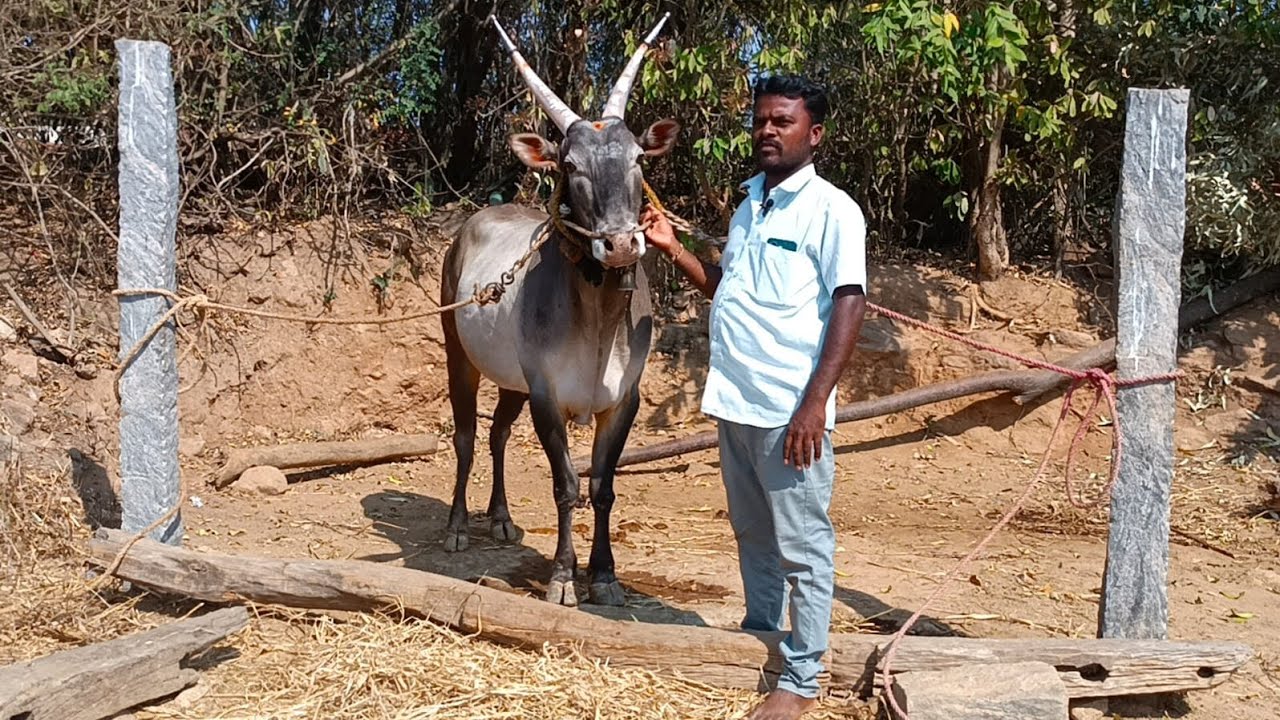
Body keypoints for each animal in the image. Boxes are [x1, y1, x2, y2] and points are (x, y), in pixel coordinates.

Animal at [438, 14, 679, 607]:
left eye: (638, 158)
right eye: (570, 164)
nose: (620, 245)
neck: (597, 320)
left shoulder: (623, 400)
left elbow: (602, 486)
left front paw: (606, 577)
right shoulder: (547, 395)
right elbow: (566, 486)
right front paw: (564, 577)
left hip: (513, 380)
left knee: (498, 433)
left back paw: (500, 517)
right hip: (460, 356)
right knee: (467, 437)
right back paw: (457, 526)